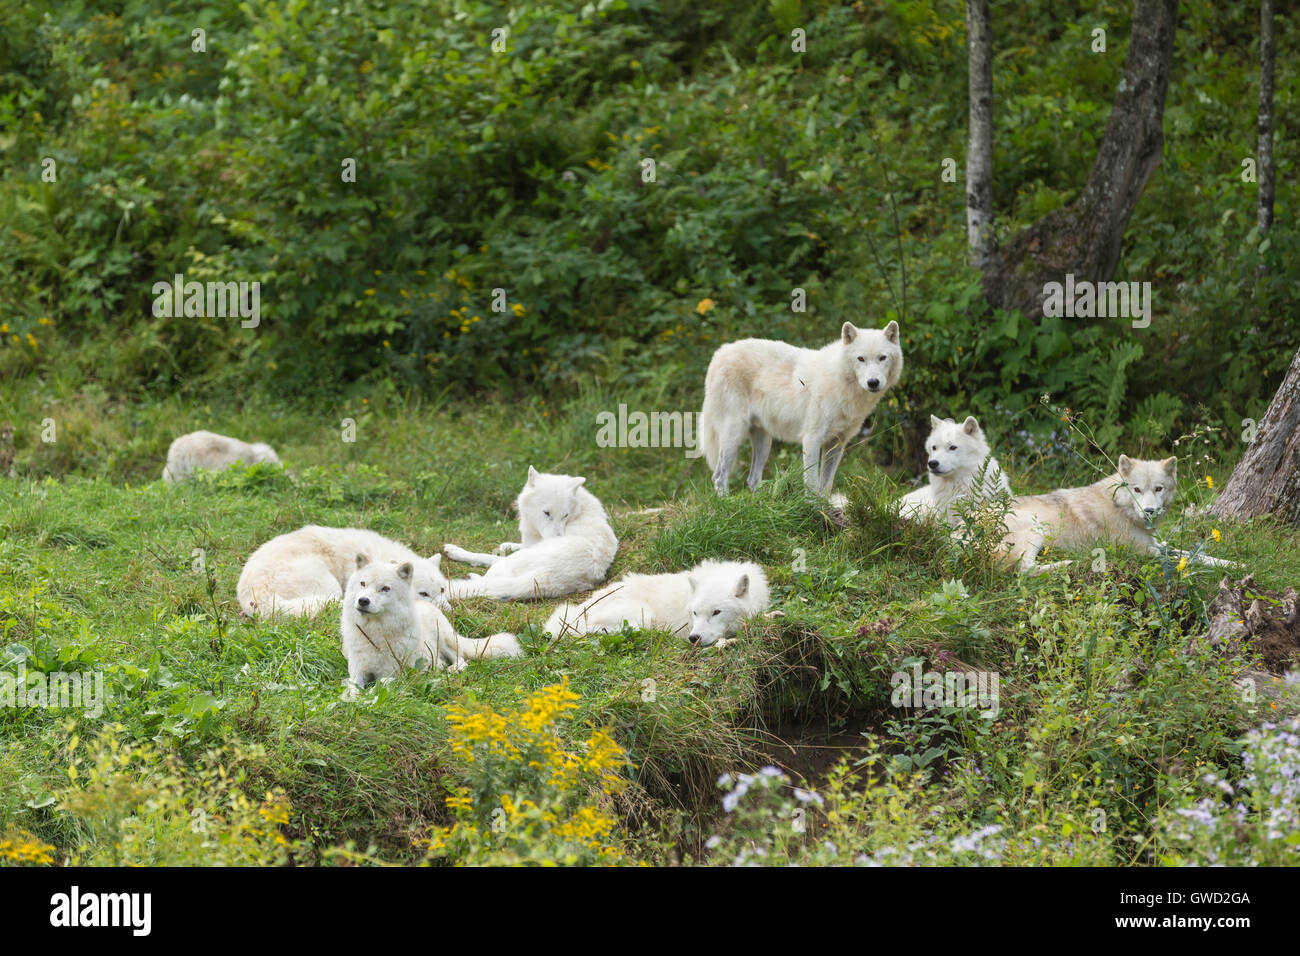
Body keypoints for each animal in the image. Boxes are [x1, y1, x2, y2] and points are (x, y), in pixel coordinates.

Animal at [340, 557, 521, 690]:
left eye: (385, 588)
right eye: (363, 583)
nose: (363, 601)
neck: (375, 635)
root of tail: (429, 605)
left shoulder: (395, 674)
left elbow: (381, 685)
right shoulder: (357, 672)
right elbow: (353, 686)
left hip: (445, 640)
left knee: (460, 658)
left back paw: (452, 669)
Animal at [443, 466, 618, 601]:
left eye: (565, 515)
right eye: (547, 513)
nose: (558, 539)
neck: (580, 511)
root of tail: (545, 577)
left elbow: (484, 556)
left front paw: (455, 551)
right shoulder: (529, 542)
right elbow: (515, 545)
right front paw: (507, 545)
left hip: (509, 564)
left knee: (490, 574)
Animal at [699, 321, 903, 496]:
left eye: (882, 358)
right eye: (861, 359)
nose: (873, 382)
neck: (841, 382)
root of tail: (720, 353)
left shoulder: (837, 443)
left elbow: (825, 485)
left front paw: (825, 509)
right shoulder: (811, 439)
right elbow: (811, 484)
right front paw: (813, 508)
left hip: (764, 441)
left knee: (752, 478)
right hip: (733, 434)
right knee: (719, 477)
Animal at [1000, 455, 1235, 573]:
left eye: (1158, 489)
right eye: (1137, 489)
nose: (1149, 511)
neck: (1120, 508)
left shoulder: (1155, 545)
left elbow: (1192, 553)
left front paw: (1232, 563)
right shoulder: (1144, 551)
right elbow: (1194, 559)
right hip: (1036, 529)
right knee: (1023, 570)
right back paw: (1070, 563)